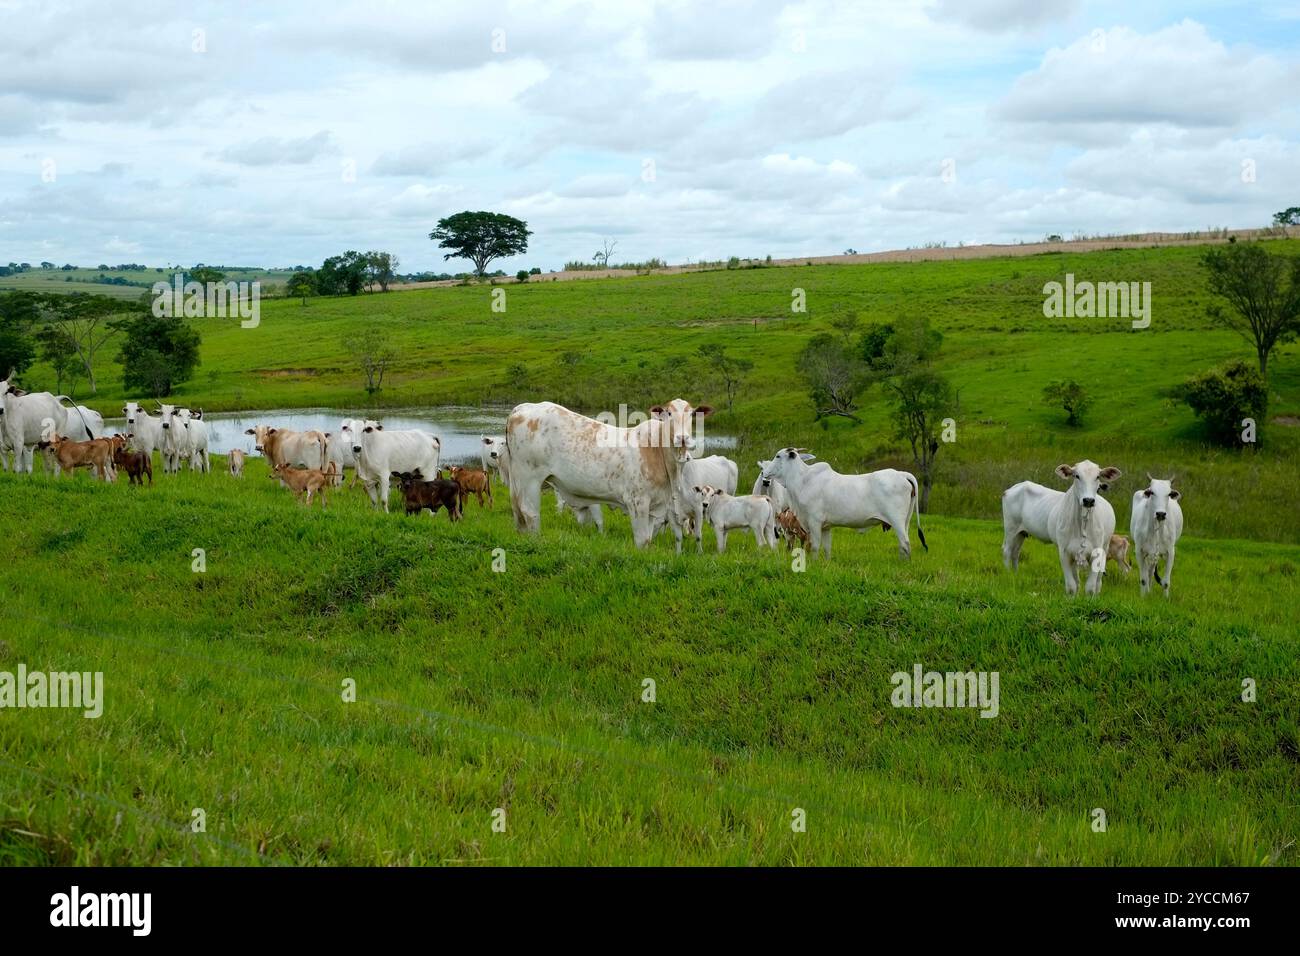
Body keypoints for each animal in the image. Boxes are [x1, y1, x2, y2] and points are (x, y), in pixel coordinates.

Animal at [504, 399, 712, 549]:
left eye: (693, 414)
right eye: (668, 413)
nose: (682, 438)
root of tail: (524, 407)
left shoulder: (654, 506)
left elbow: (648, 538)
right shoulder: (637, 501)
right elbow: (642, 540)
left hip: (517, 479)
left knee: (518, 514)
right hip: (529, 477)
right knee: (530, 513)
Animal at [761, 448, 926, 560]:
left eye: (778, 456)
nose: (764, 473)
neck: (803, 480)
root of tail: (901, 474)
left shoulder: (814, 522)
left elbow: (814, 546)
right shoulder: (826, 526)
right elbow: (827, 548)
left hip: (897, 520)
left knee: (905, 543)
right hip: (905, 521)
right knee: (903, 544)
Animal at [1001, 460, 1122, 597]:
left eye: (1097, 476)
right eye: (1077, 476)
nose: (1088, 500)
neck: (1082, 524)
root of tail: (1015, 487)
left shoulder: (1096, 553)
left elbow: (1090, 588)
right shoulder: (1064, 552)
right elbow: (1071, 586)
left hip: (1021, 533)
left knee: (1015, 552)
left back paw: (1015, 574)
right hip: (1010, 528)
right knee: (1007, 551)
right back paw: (1008, 574)